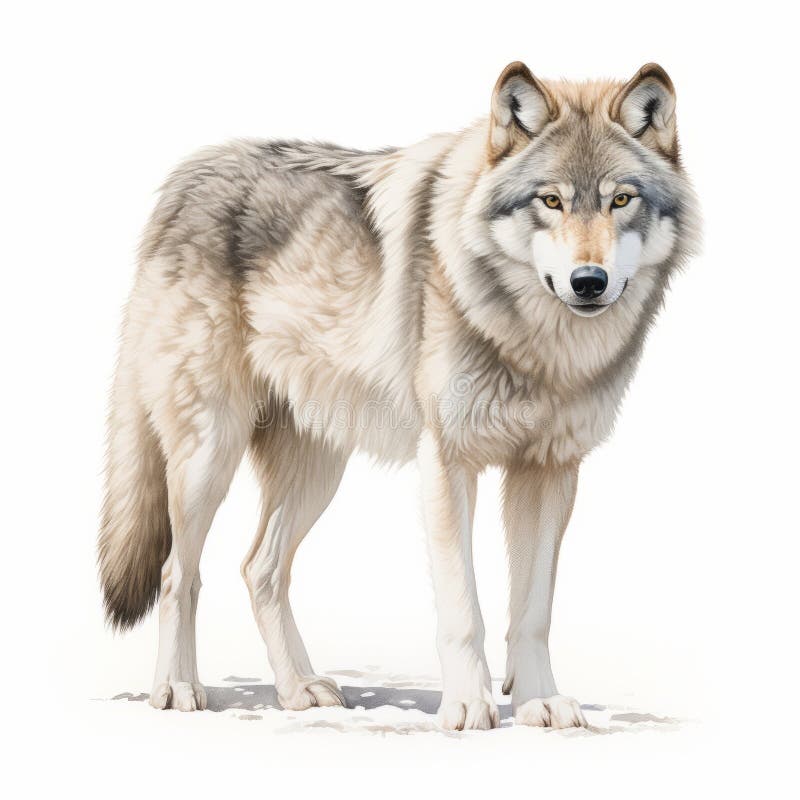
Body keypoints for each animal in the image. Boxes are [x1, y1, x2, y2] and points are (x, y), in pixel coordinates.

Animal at [99, 62, 699, 730]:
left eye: (622, 199)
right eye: (551, 200)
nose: (588, 282)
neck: (538, 346)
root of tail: (185, 177)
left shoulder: (549, 470)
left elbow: (533, 611)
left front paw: (539, 701)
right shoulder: (447, 461)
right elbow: (464, 608)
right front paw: (467, 706)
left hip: (317, 471)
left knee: (260, 569)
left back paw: (298, 690)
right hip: (209, 456)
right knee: (178, 572)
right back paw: (178, 688)